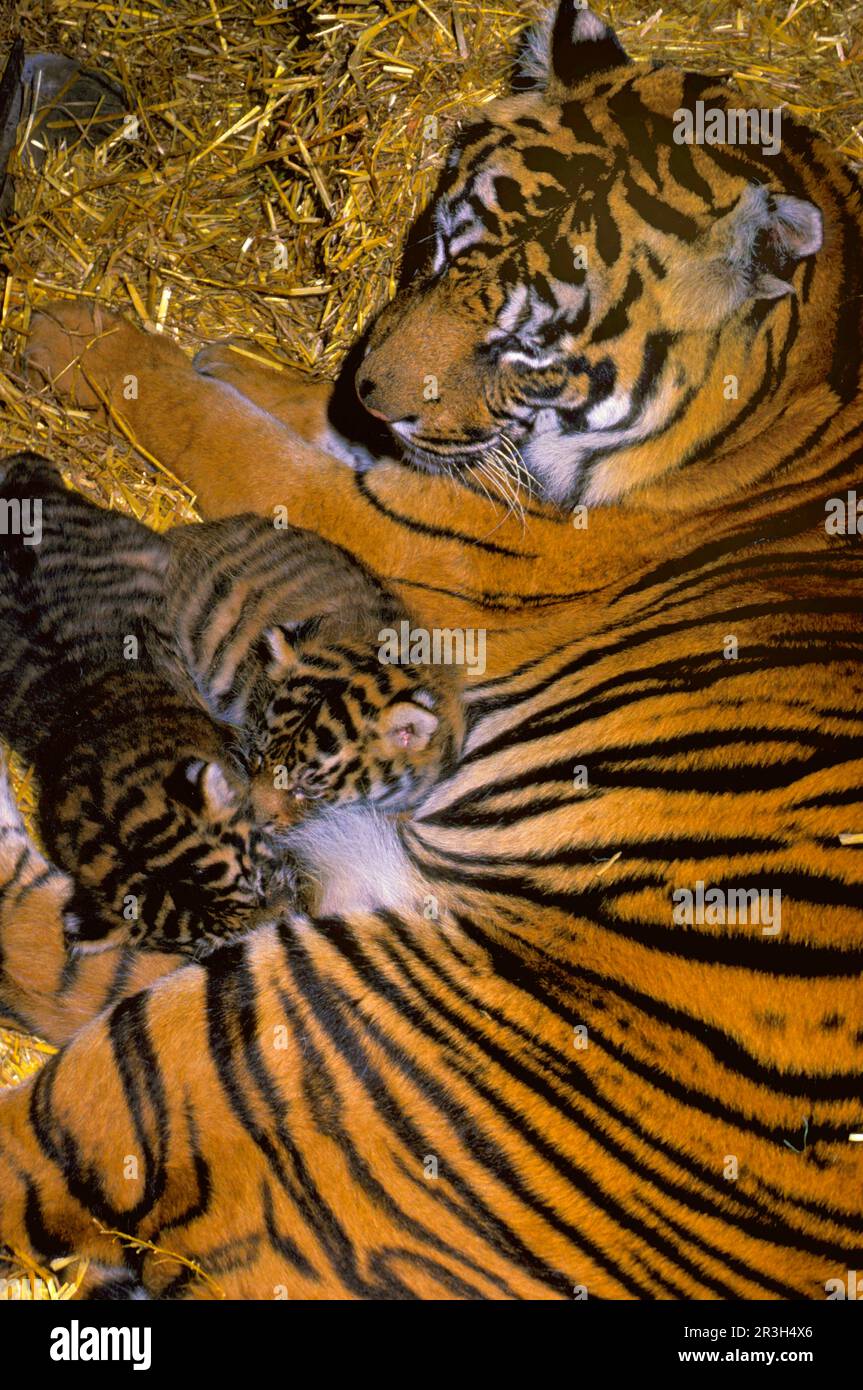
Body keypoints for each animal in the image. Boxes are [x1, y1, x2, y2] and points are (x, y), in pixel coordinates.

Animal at [5, 0, 863, 1300]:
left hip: (255, 1028)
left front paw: (84, 341)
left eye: (525, 346)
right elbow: (278, 403)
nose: (371, 385)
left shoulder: (426, 533)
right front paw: (224, 355)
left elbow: (218, 431)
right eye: (438, 248)